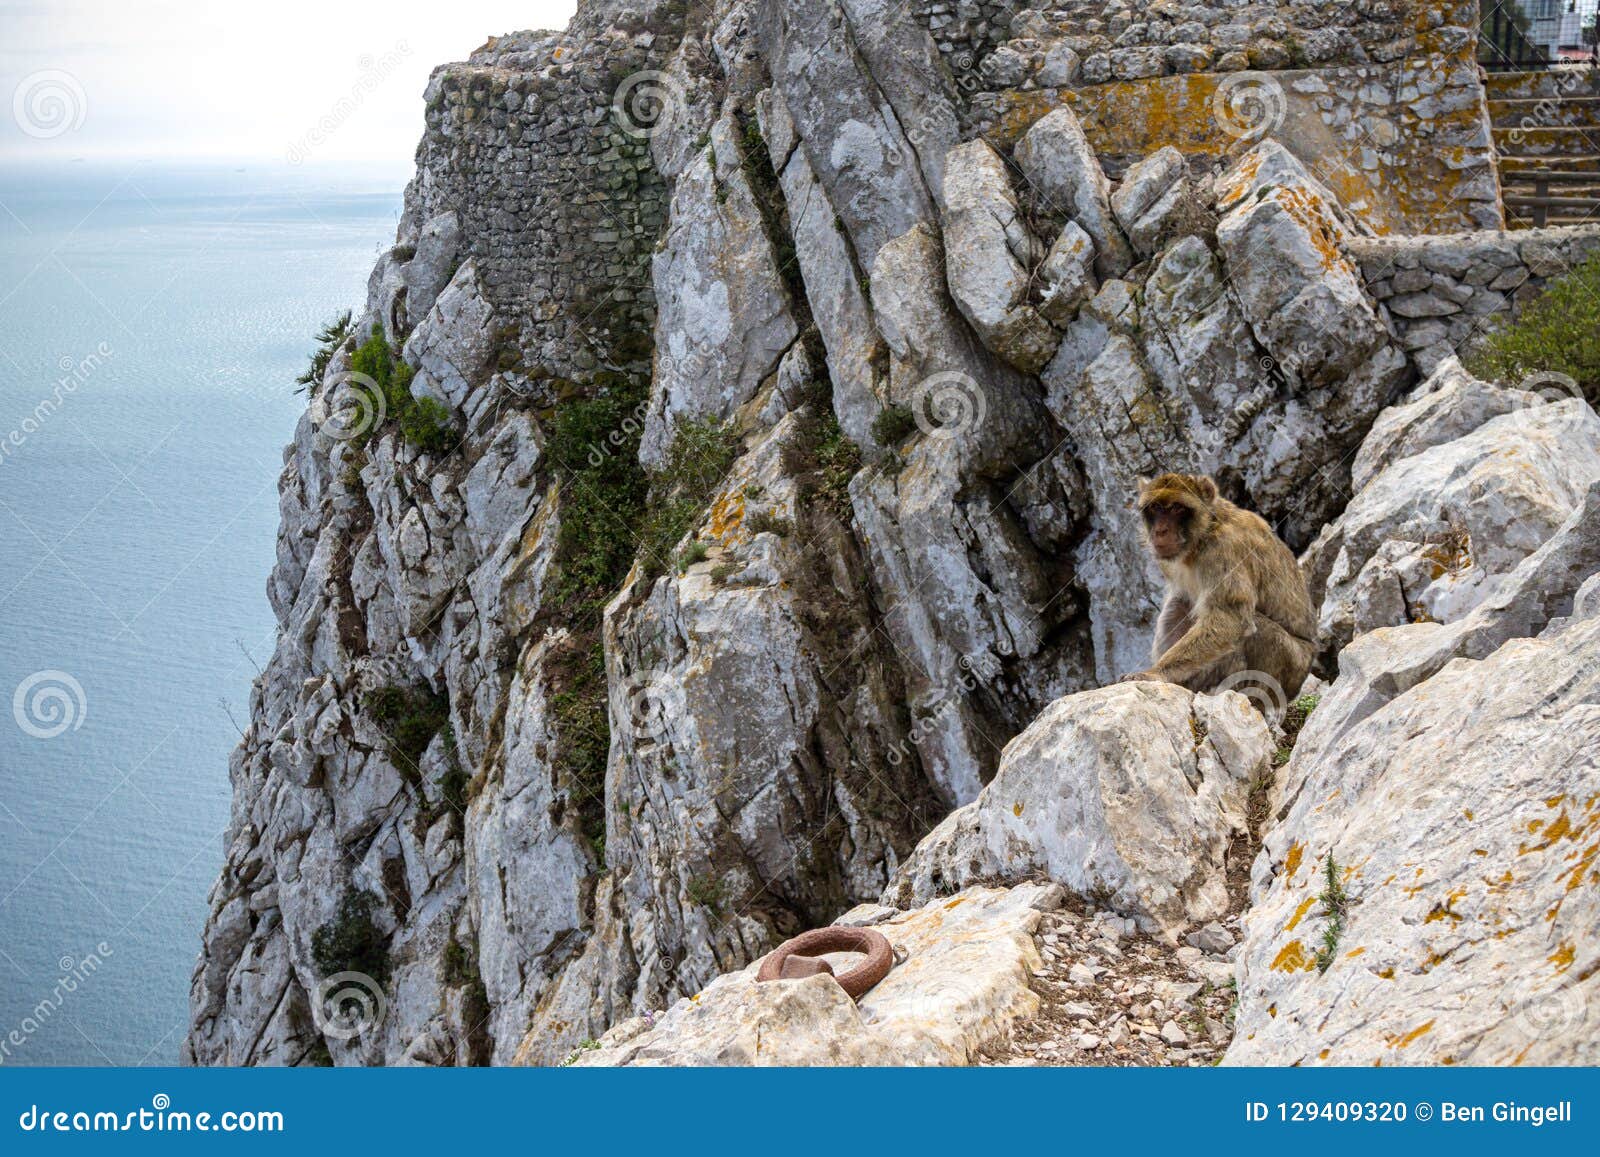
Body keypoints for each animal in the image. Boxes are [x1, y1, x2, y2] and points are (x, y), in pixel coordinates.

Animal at [1120, 472, 1317, 702]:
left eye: (1177, 508)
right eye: (1155, 507)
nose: (1160, 531)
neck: (1206, 530)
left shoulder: (1226, 549)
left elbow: (1231, 619)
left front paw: (1155, 673)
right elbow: (1182, 603)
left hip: (1292, 665)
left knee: (1257, 630)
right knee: (1176, 606)